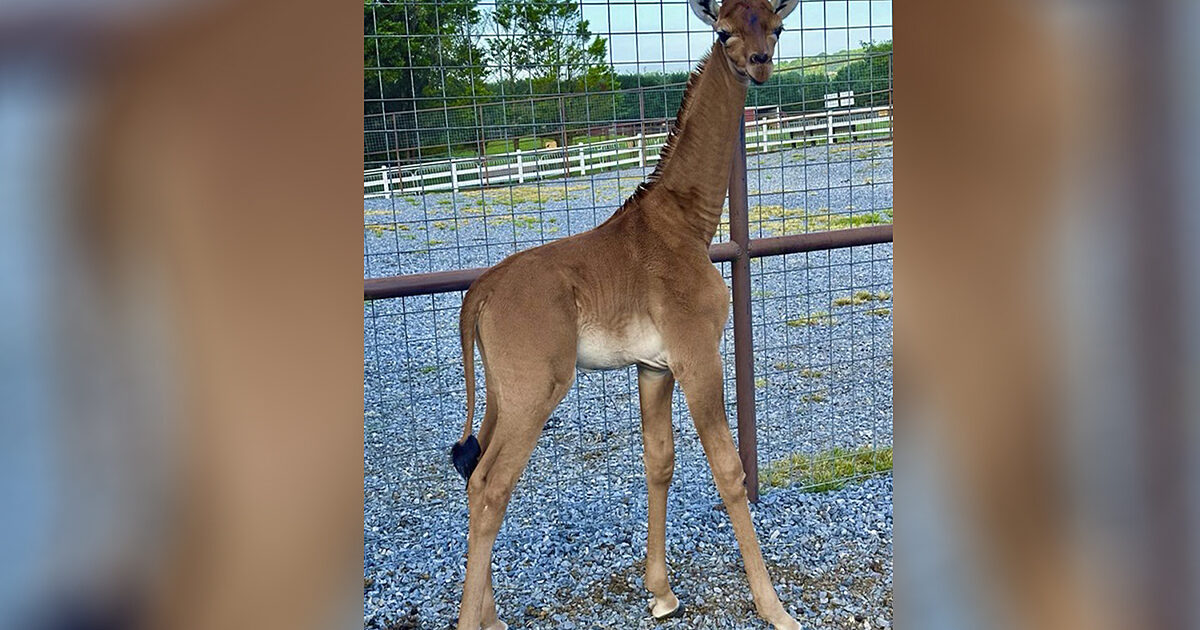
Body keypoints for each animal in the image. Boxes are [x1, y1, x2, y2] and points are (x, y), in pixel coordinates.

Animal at [449, 1, 800, 628]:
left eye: (776, 26)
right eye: (722, 32)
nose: (759, 63)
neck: (687, 224)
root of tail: (479, 293)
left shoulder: (654, 366)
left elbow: (659, 461)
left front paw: (661, 592)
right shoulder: (697, 355)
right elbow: (729, 470)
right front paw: (775, 608)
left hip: (499, 393)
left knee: (473, 475)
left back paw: (491, 614)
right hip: (535, 391)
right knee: (491, 485)